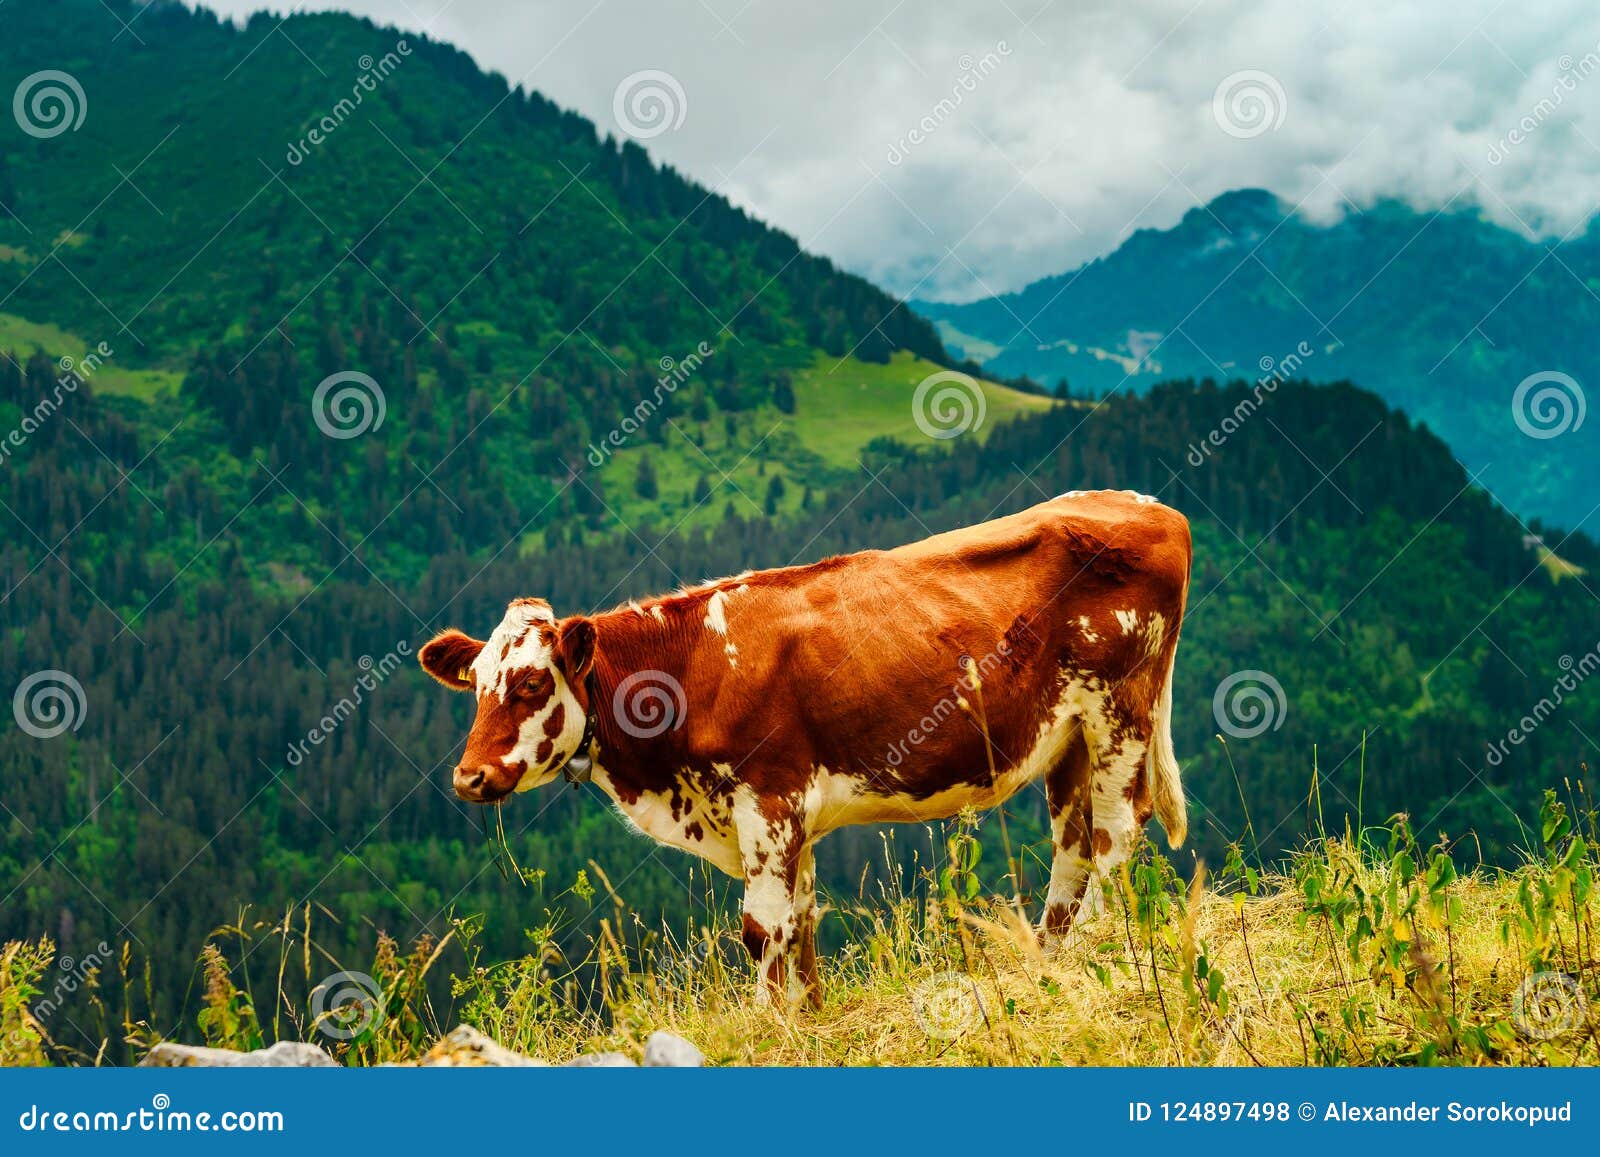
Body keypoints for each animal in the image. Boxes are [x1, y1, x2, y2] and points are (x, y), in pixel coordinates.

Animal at [419, 489, 1191, 1008]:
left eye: (529, 683)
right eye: (476, 686)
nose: (469, 776)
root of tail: (1150, 506)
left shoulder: (769, 797)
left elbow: (764, 927)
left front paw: (768, 1020)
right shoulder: (790, 818)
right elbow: (801, 920)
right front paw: (808, 1013)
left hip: (1121, 709)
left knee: (1116, 830)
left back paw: (1087, 948)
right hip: (1067, 735)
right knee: (1073, 841)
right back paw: (1051, 958)